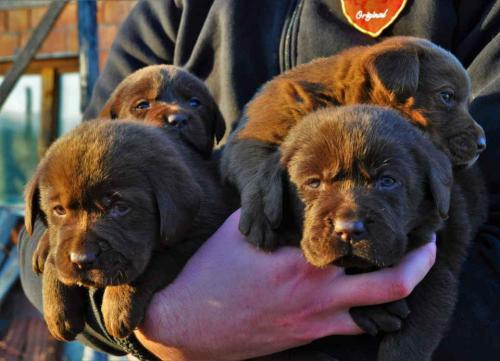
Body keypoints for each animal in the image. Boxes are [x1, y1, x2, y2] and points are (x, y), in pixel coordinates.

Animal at [25, 119, 238, 340]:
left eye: (120, 208)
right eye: (59, 210)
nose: (82, 260)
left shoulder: (200, 231)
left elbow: (151, 263)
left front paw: (117, 305)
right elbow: (57, 255)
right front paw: (57, 308)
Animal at [221, 37, 486, 250]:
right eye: (446, 96)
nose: (483, 143)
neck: (338, 96)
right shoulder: (258, 128)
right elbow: (256, 166)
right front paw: (262, 217)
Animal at [278, 105, 472, 360]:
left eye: (387, 181)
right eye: (313, 183)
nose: (349, 229)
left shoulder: (437, 271)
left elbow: (410, 340)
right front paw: (374, 310)